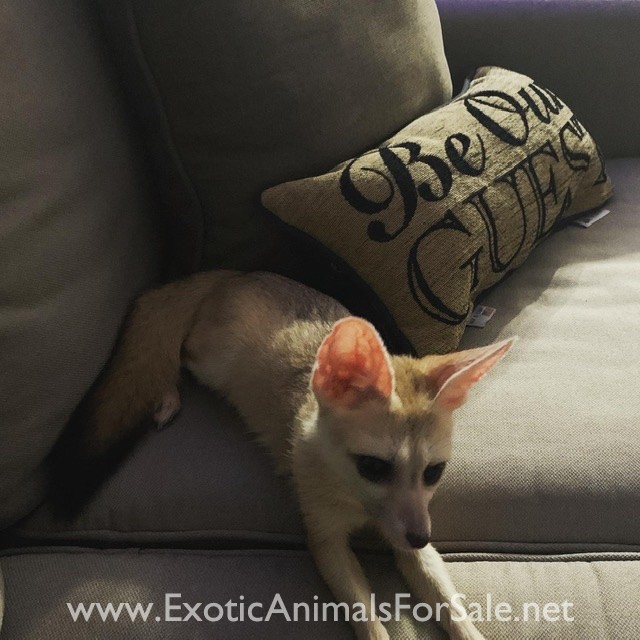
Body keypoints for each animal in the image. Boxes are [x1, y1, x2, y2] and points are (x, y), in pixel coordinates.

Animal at [68, 269, 514, 640]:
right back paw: (167, 395)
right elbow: (366, 616)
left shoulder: (408, 534)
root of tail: (231, 273)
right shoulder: (325, 538)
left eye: (434, 472)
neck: (357, 504)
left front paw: (469, 631)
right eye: (373, 467)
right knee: (179, 353)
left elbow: (449, 604)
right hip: (212, 363)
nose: (422, 536)